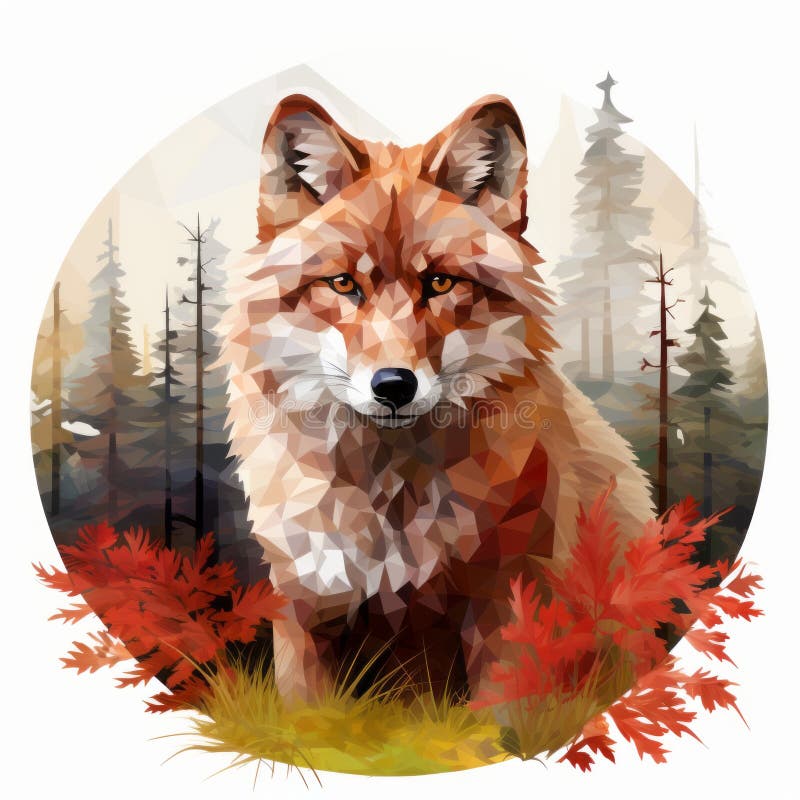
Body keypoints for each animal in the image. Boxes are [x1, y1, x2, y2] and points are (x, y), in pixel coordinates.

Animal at [219, 93, 654, 702]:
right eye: (344, 284)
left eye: (441, 284)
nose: (394, 385)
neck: (389, 512)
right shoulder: (305, 608)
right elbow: (307, 712)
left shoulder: (509, 601)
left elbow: (498, 717)